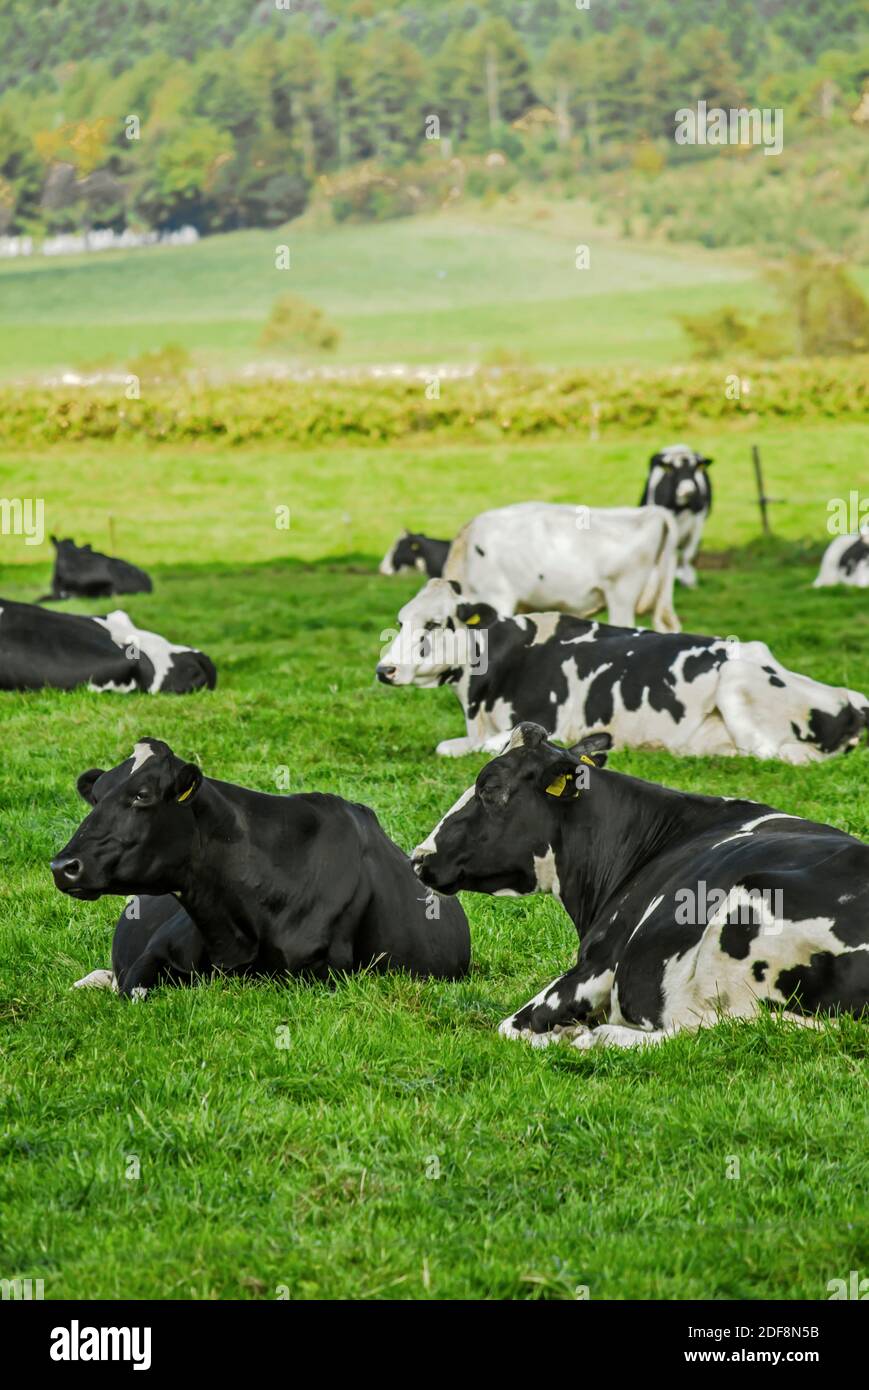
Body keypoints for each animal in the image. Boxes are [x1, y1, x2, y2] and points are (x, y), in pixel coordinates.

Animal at [376, 578, 869, 763]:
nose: (385, 670)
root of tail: (849, 700)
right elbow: (446, 746)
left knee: (775, 754)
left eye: (434, 623)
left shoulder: (550, 724)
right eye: (399, 621)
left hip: (736, 683)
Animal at [411, 723, 869, 1049]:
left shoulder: (597, 967)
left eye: (489, 786)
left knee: (707, 1030)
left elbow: (510, 1027)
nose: (419, 855)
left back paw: (595, 1037)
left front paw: (568, 1033)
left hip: (743, 908)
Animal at [639, 445, 712, 588]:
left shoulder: (698, 523)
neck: (680, 507)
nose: (688, 489)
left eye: (694, 469)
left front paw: (689, 581)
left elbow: (688, 554)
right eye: (672, 469)